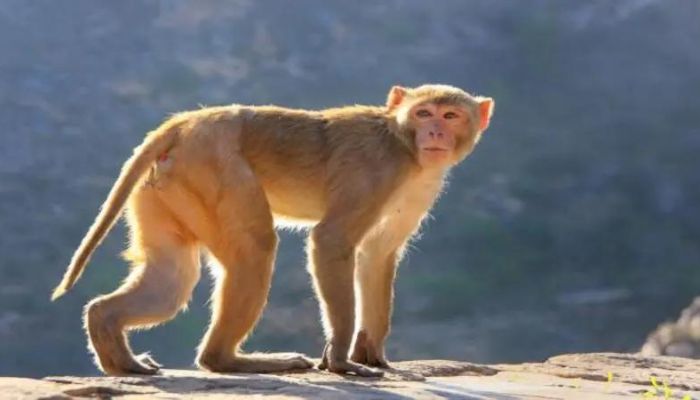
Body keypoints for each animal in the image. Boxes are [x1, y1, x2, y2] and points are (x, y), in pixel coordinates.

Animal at [51, 84, 494, 378]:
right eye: (424, 114)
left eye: (450, 116)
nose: (435, 133)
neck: (404, 145)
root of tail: (187, 122)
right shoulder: (377, 171)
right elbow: (331, 241)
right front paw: (340, 360)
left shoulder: (419, 190)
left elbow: (378, 255)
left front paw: (372, 352)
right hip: (213, 167)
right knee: (255, 249)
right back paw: (228, 359)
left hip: (167, 186)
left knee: (172, 277)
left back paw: (113, 340)